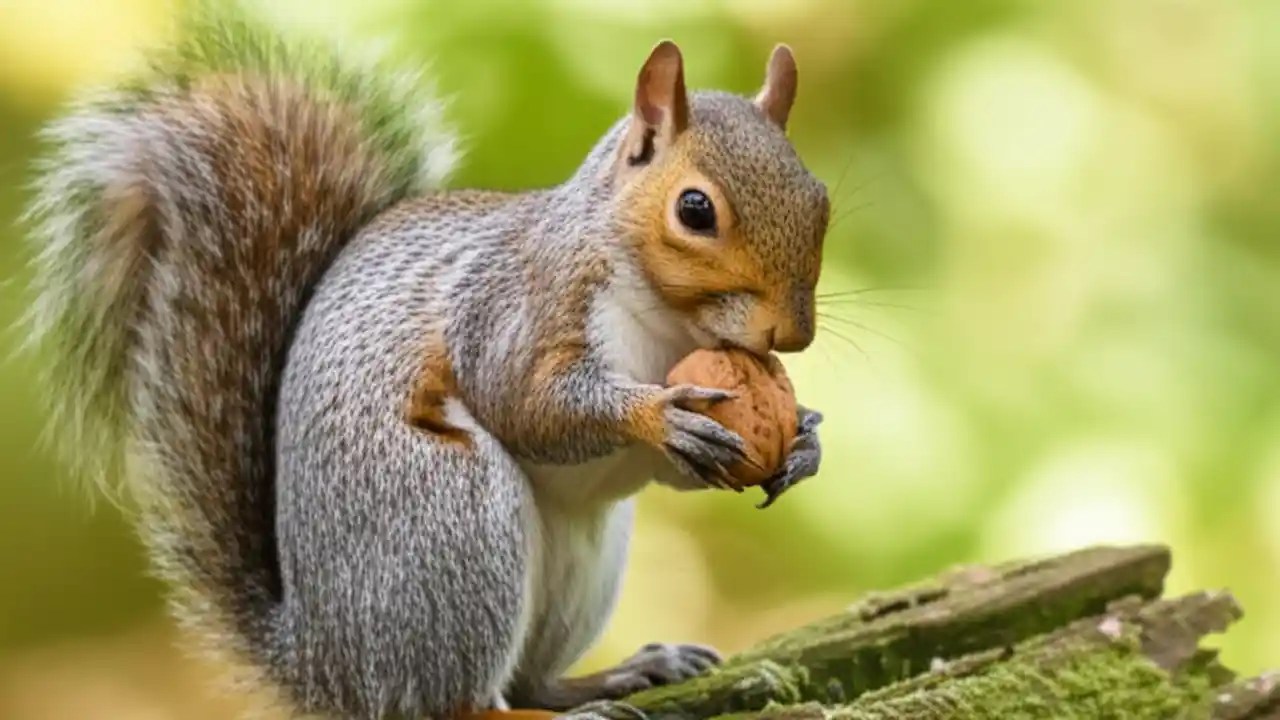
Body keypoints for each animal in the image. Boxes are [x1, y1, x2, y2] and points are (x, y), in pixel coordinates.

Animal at [24, 2, 828, 719]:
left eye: (821, 199)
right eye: (695, 209)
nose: (791, 336)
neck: (668, 324)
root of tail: (329, 667)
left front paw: (805, 442)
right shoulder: (515, 307)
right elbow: (526, 404)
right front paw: (659, 415)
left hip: (582, 560)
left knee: (529, 678)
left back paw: (618, 676)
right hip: (453, 515)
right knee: (449, 702)